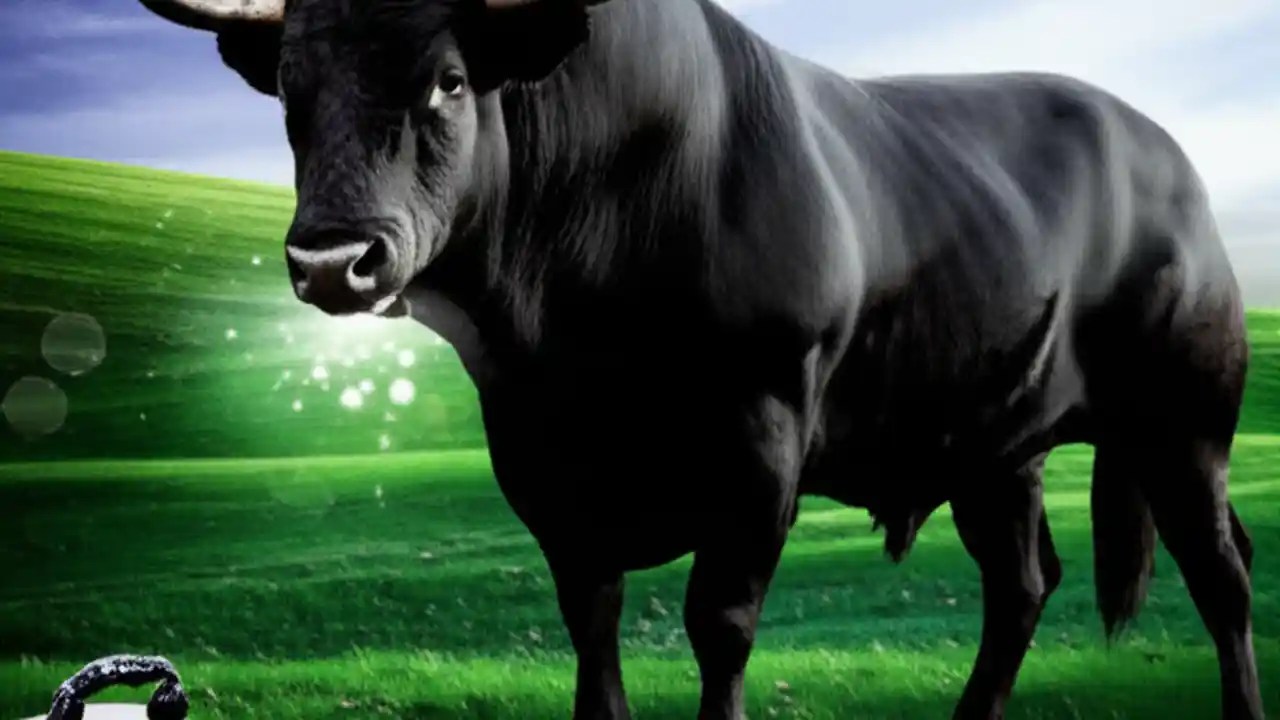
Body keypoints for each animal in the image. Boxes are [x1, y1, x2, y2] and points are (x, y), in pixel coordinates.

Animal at [136, 1, 1263, 718]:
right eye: (291, 88)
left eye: (449, 81)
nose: (332, 259)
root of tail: (1159, 147)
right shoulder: (543, 469)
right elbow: (590, 627)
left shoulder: (759, 448)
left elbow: (717, 626)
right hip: (995, 443)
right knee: (1021, 581)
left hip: (1186, 425)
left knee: (1221, 576)